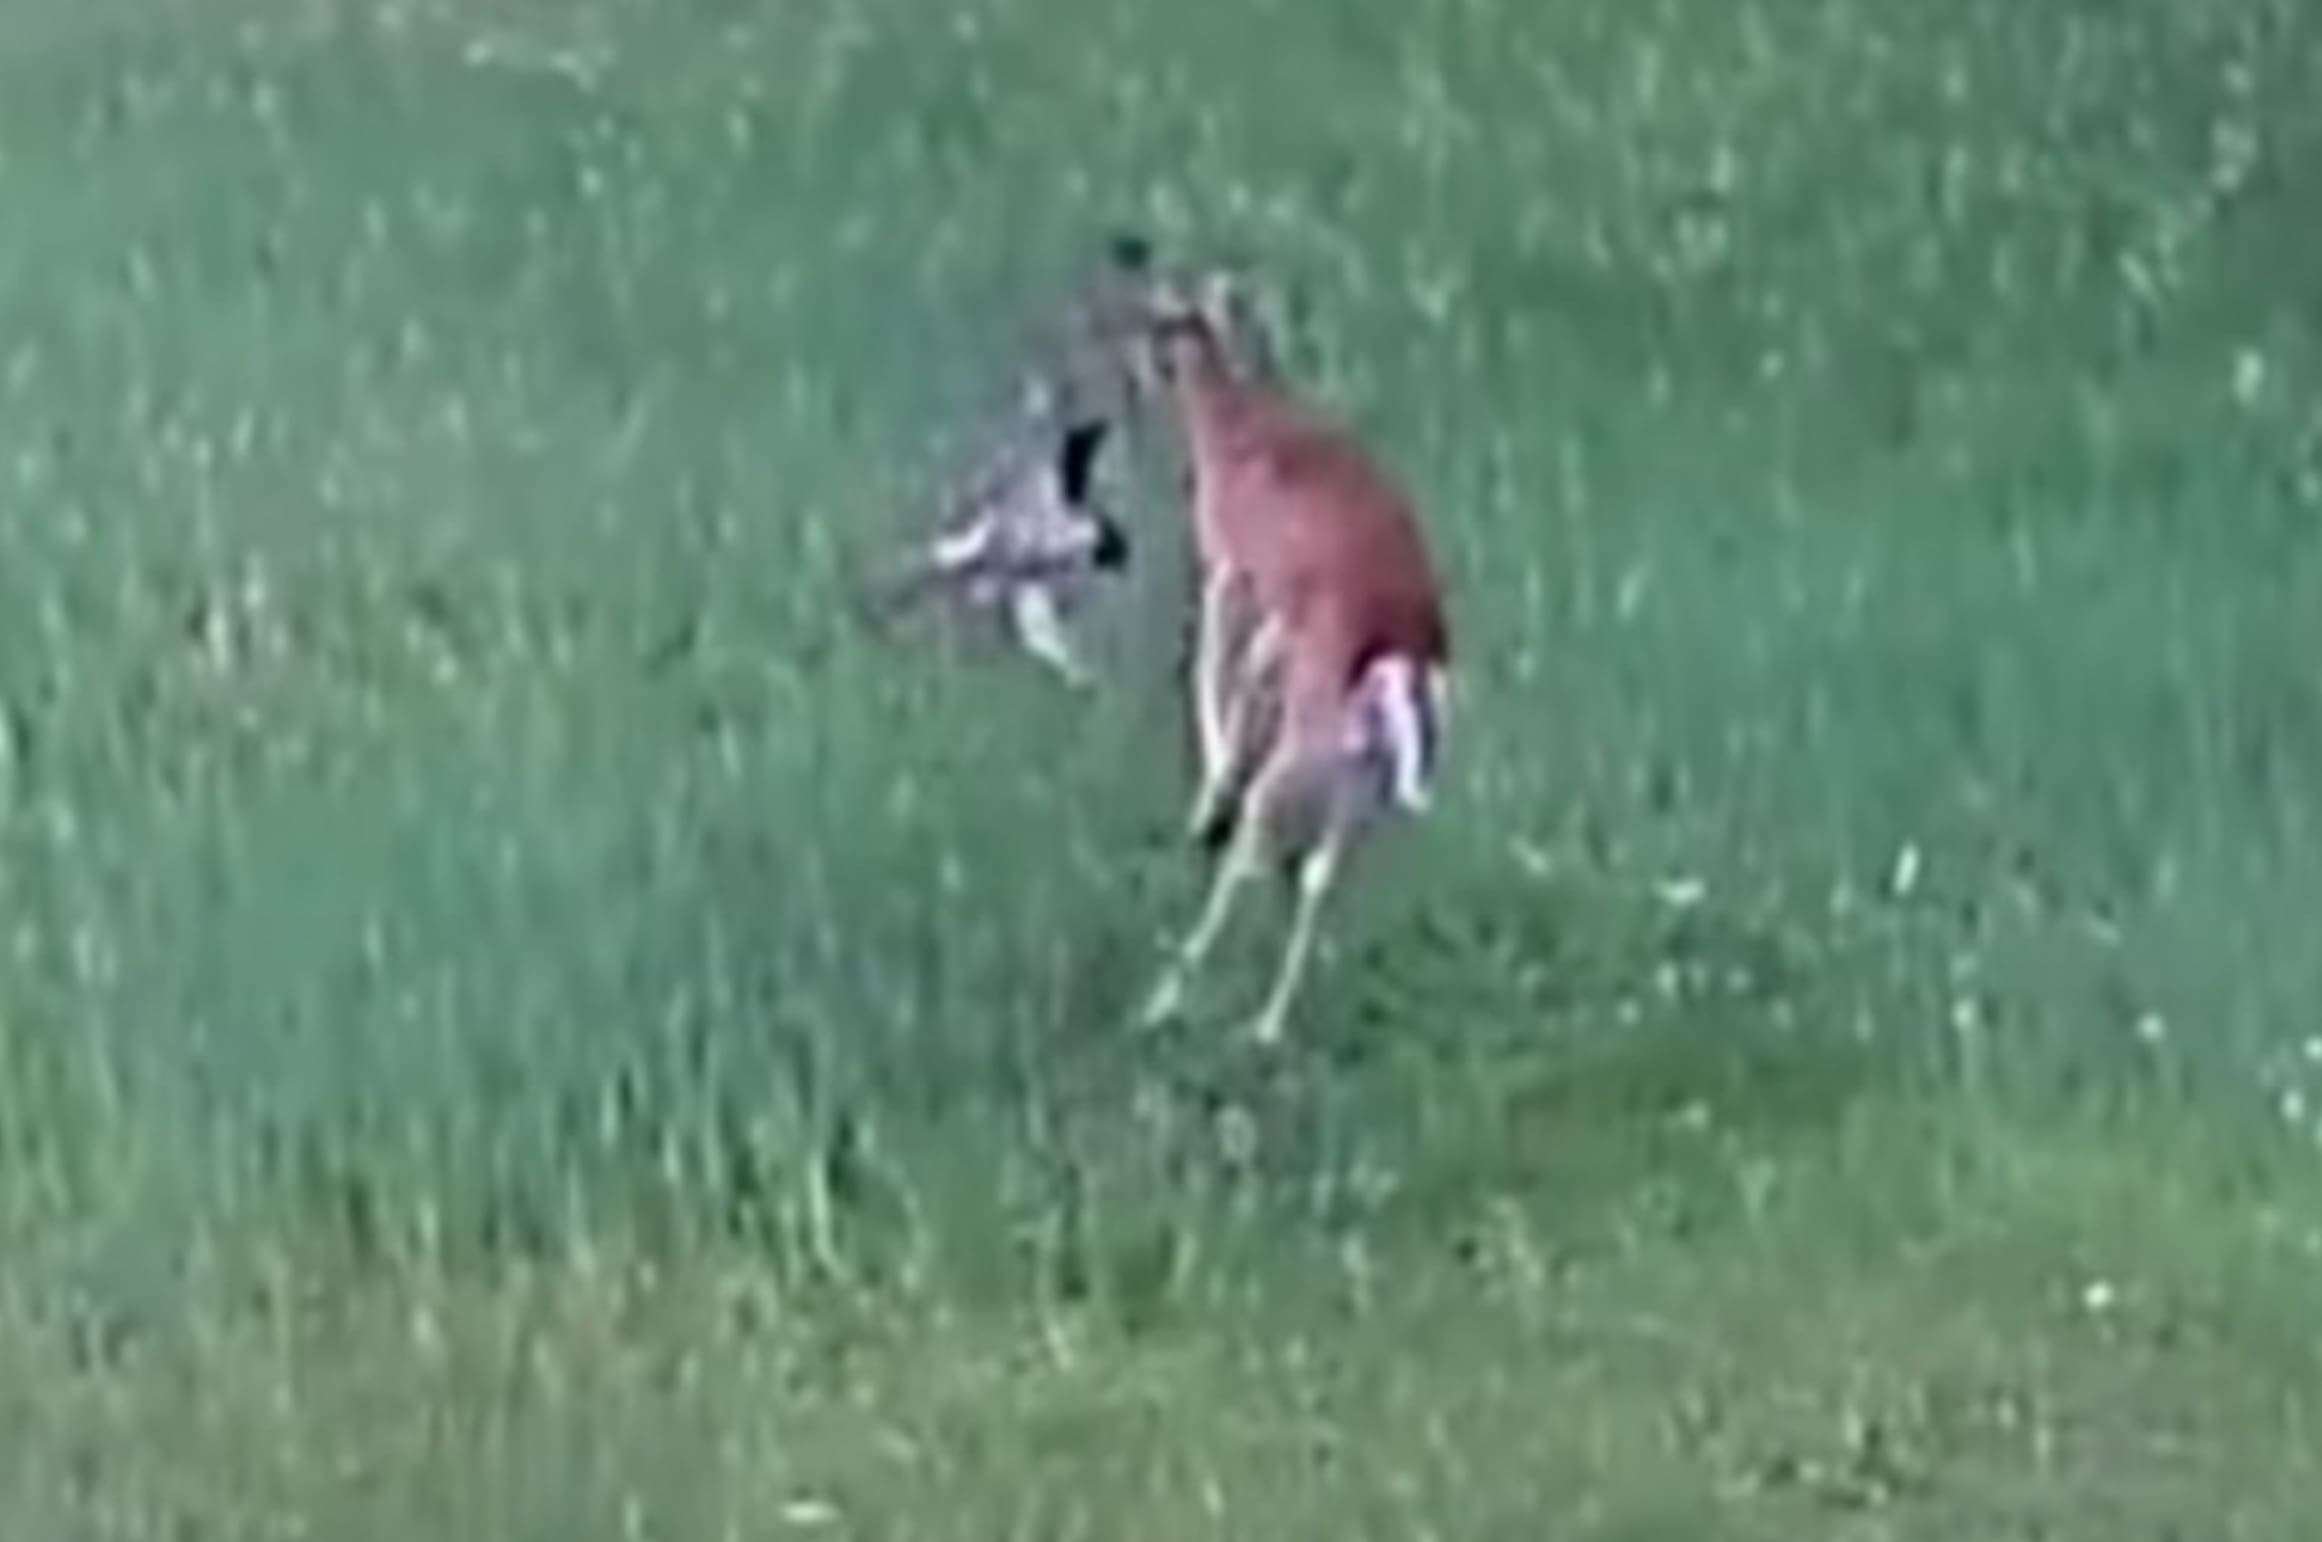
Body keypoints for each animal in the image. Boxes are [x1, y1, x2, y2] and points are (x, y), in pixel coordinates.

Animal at [1127, 269, 1453, 1046]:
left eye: (1163, 319)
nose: (1133, 368)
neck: (1240, 433)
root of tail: (1402, 661)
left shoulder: (1233, 573)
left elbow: (1211, 674)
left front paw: (1209, 795)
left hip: (1310, 752)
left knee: (1252, 850)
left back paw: (1165, 999)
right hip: (1364, 779)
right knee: (1318, 875)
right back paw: (1267, 1024)